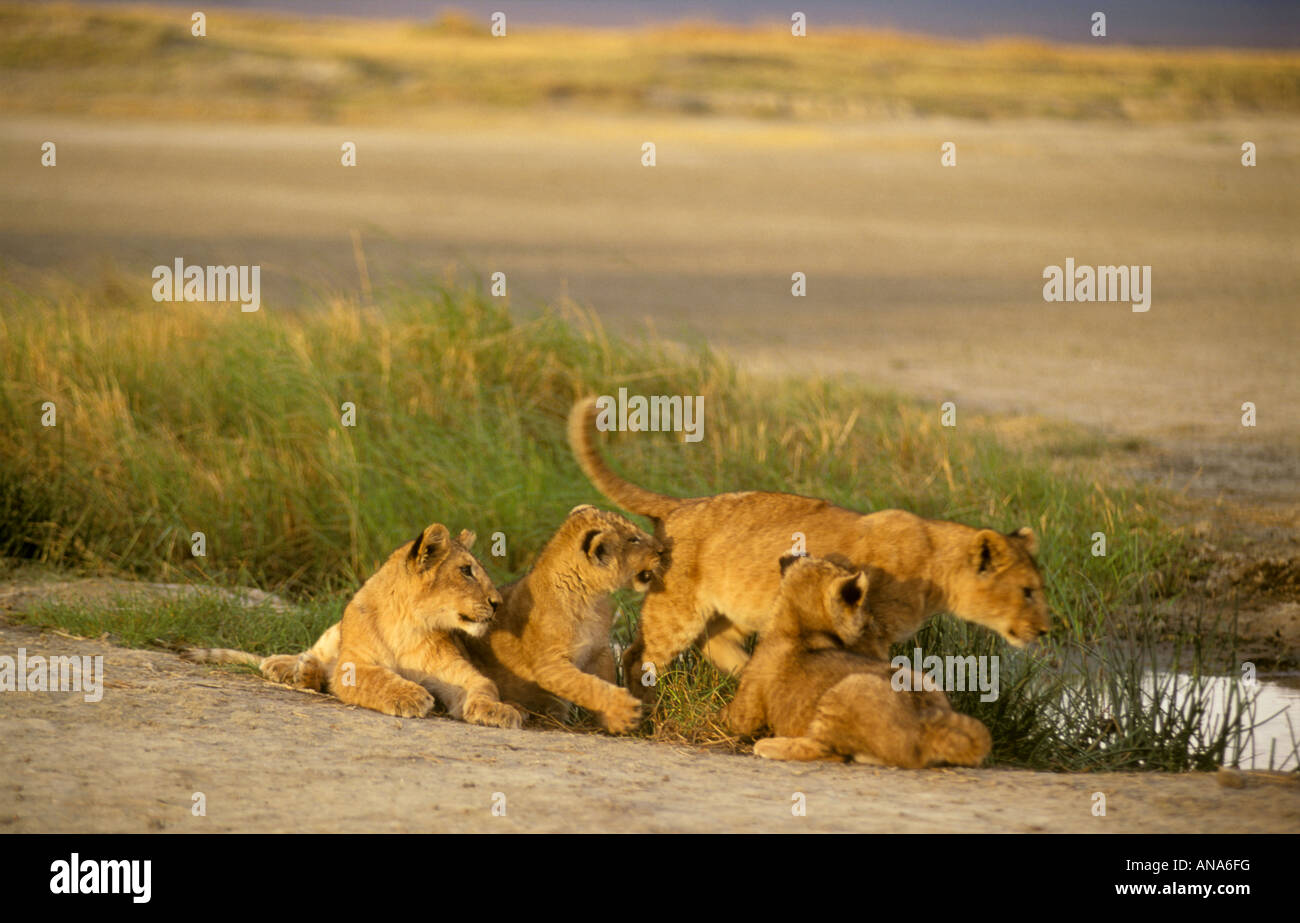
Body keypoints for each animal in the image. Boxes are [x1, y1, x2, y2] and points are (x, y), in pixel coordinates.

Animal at [182, 524, 524, 729]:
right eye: (466, 571)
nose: (497, 602)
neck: (410, 623)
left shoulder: (459, 672)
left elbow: (484, 687)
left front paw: (499, 711)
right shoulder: (354, 663)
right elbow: (378, 678)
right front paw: (410, 696)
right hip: (336, 632)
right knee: (311, 654)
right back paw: (286, 666)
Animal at [466, 505, 665, 733]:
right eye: (634, 539)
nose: (662, 549)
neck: (590, 599)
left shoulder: (599, 650)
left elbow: (604, 679)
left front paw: (613, 720)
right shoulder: (549, 663)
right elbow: (586, 685)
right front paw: (623, 710)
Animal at [567, 396, 1051, 697]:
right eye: (1027, 592)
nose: (1047, 631)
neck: (937, 563)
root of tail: (683, 504)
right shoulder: (869, 629)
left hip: (738, 606)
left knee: (717, 645)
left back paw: (751, 674)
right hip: (677, 611)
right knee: (639, 657)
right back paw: (644, 711)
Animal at [724, 554, 992, 768]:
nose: (872, 619)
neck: (801, 628)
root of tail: (928, 728)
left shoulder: (745, 712)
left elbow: (730, 719)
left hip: (848, 688)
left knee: (829, 751)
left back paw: (768, 745)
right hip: (922, 679)